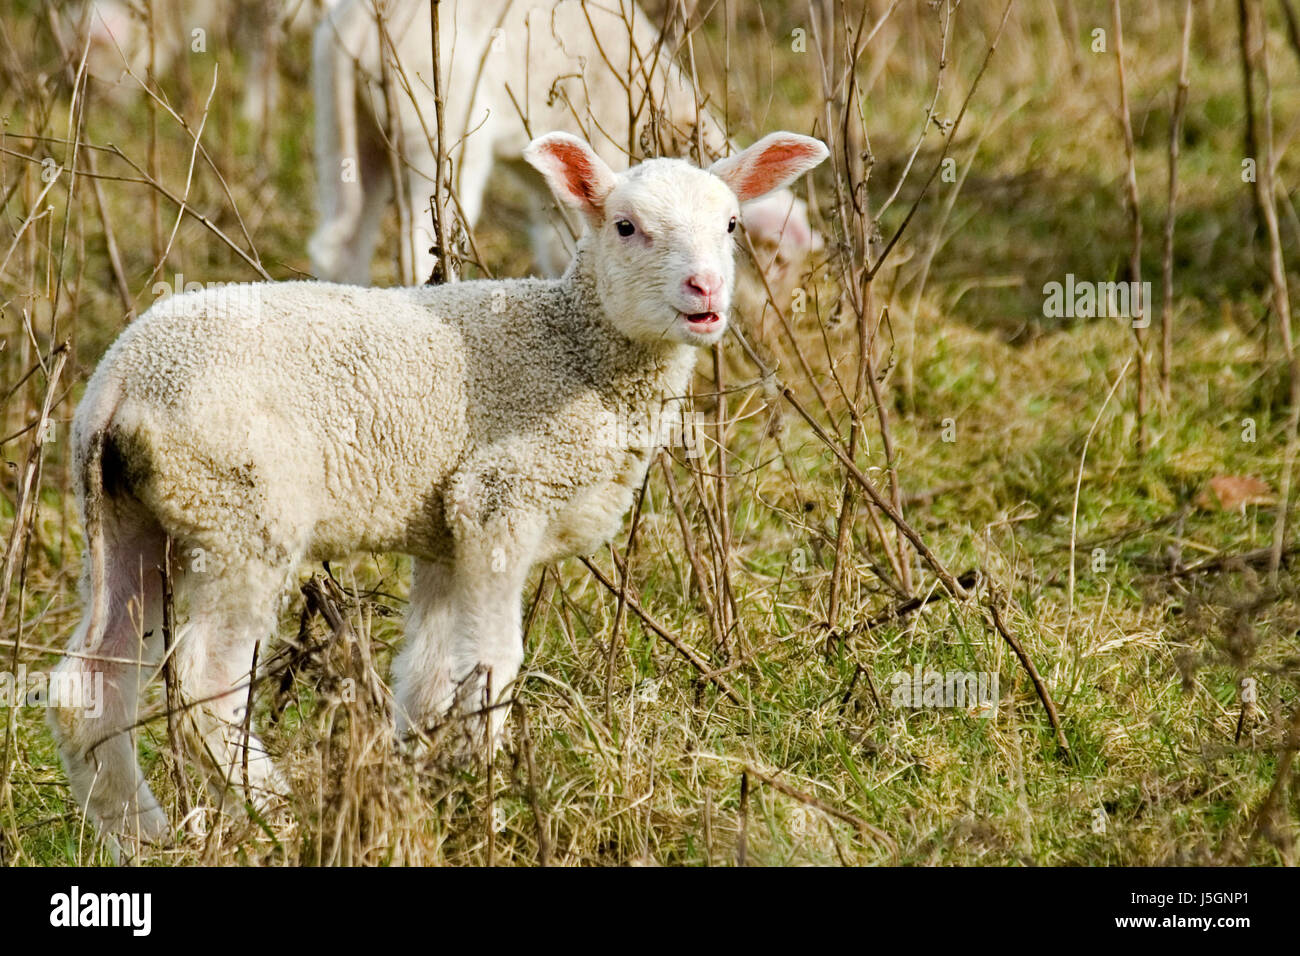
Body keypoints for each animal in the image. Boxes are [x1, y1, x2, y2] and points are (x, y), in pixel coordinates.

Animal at [48, 128, 828, 849]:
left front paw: (423, 792)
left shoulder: (446, 536)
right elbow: (491, 665)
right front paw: (484, 798)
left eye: (731, 225)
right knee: (207, 680)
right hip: (240, 509)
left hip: (129, 514)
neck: (577, 351)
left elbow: (424, 680)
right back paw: (277, 816)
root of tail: (119, 382)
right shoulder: (498, 498)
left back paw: (139, 836)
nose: (706, 290)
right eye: (626, 227)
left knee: (89, 684)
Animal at [309, 0, 821, 293]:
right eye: (776, 264)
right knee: (421, 248)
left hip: (342, 125)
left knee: (340, 242)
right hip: (440, 132)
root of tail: (362, 25)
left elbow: (557, 249)